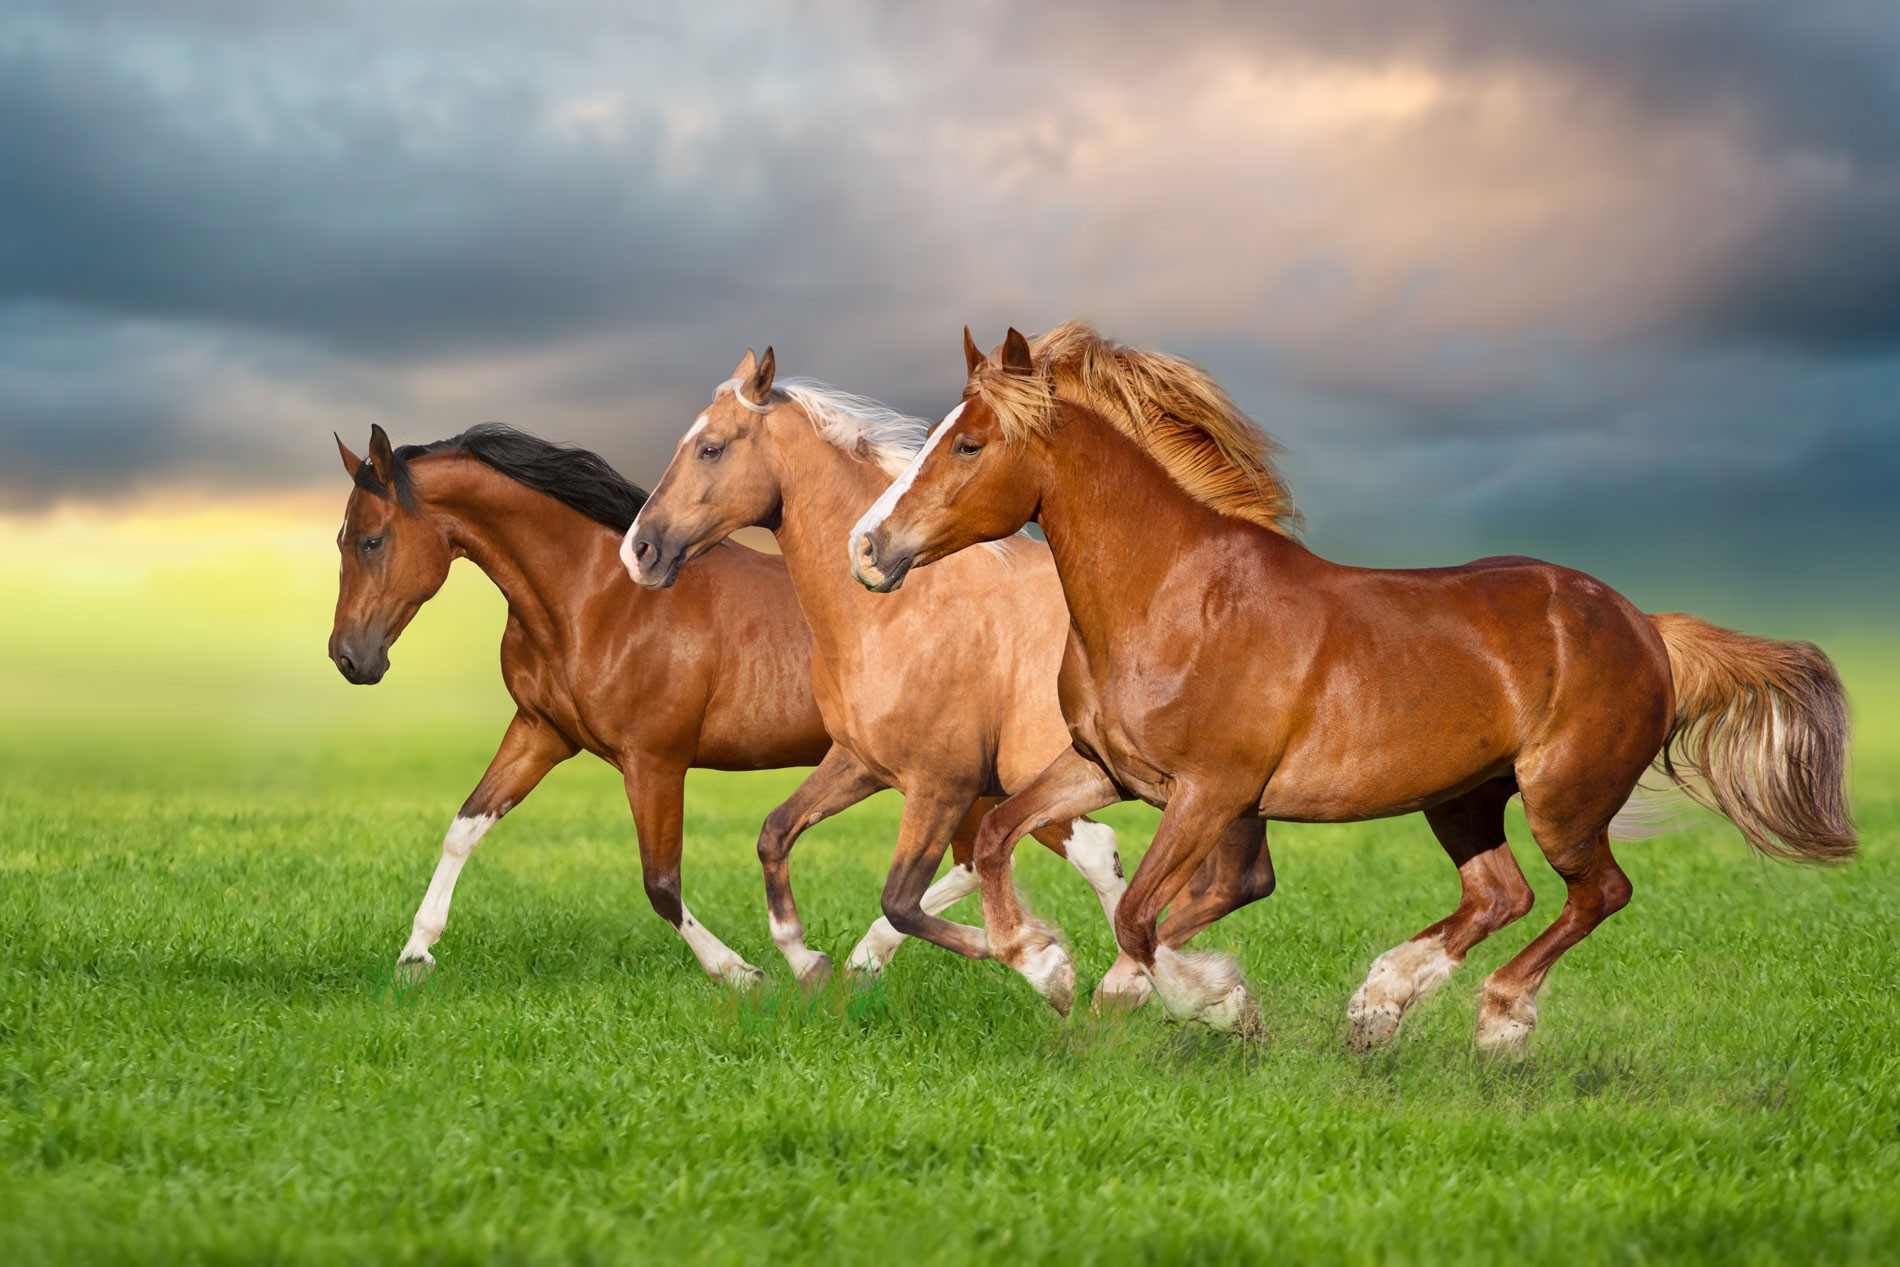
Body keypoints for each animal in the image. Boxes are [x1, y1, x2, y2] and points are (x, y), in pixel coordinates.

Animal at [328, 422, 835, 984]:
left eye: (372, 540)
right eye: (341, 539)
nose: (347, 657)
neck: (600, 603)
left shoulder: (654, 764)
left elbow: (661, 883)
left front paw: (739, 972)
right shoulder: (540, 733)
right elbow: (464, 828)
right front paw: (415, 956)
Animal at [620, 350, 1278, 1011]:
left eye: (710, 448)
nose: (639, 550)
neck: (899, 613)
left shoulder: (944, 783)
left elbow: (904, 897)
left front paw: (1045, 963)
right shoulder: (863, 762)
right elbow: (776, 834)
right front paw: (809, 963)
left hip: (1200, 793)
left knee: (1218, 882)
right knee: (1234, 882)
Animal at [850, 322, 1855, 1049]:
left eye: (969, 444)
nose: (869, 548)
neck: (1172, 596)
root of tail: (1648, 626)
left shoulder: (1212, 791)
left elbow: (1140, 916)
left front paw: (1214, 1003)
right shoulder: (1108, 770)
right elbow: (1002, 840)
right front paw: (1045, 965)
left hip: (1563, 799)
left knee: (1597, 893)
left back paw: (1497, 1022)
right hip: (1462, 796)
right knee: (1501, 895)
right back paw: (1378, 1005)